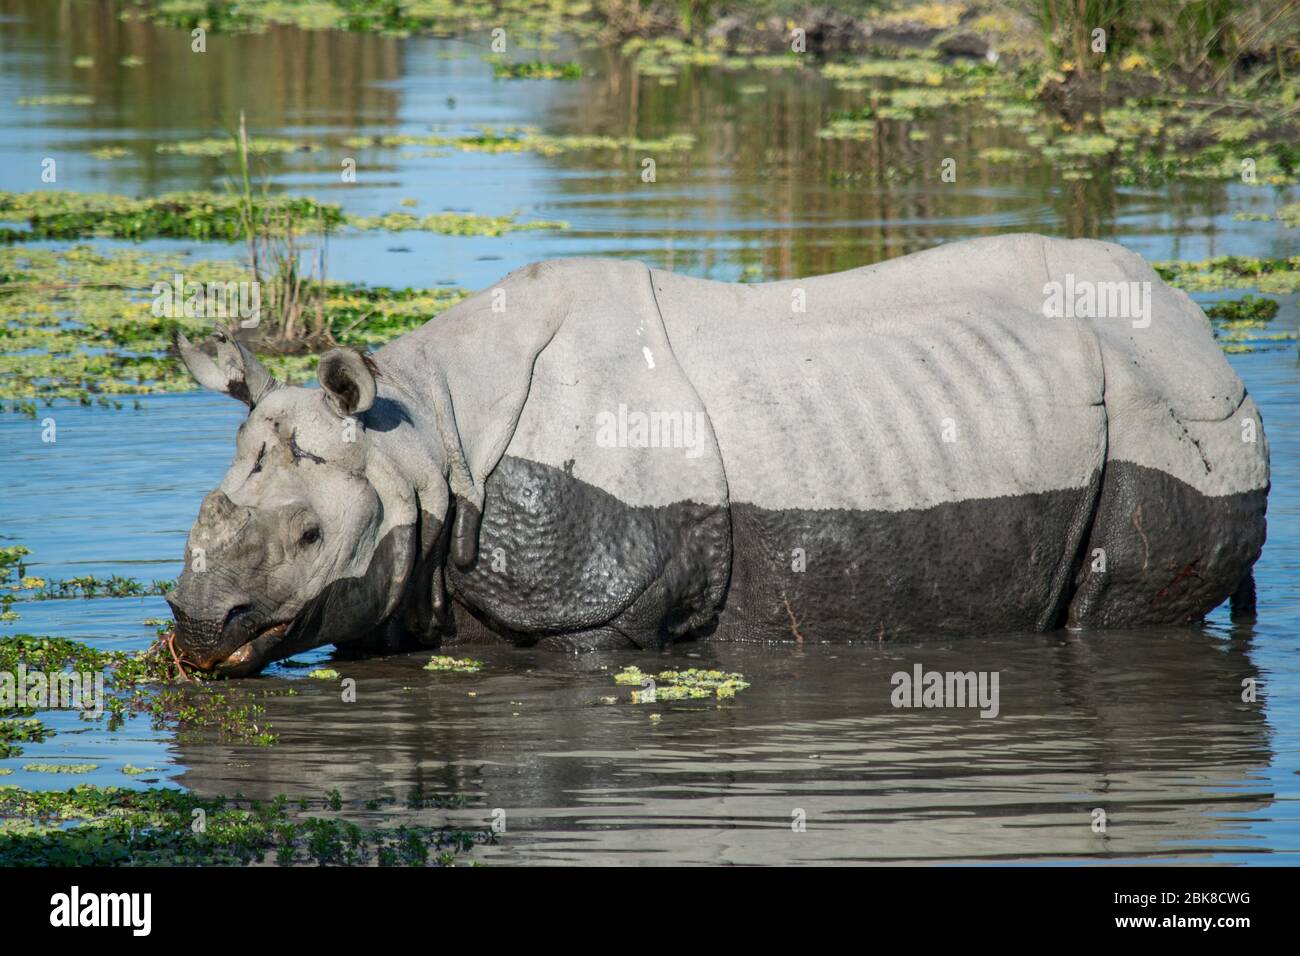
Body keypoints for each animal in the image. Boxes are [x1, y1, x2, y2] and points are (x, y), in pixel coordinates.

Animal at [167, 234, 1269, 676]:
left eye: (311, 535)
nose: (197, 628)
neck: (429, 433)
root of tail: (1205, 333)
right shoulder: (400, 578)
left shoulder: (601, 608)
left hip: (1160, 419)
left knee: (1115, 611)